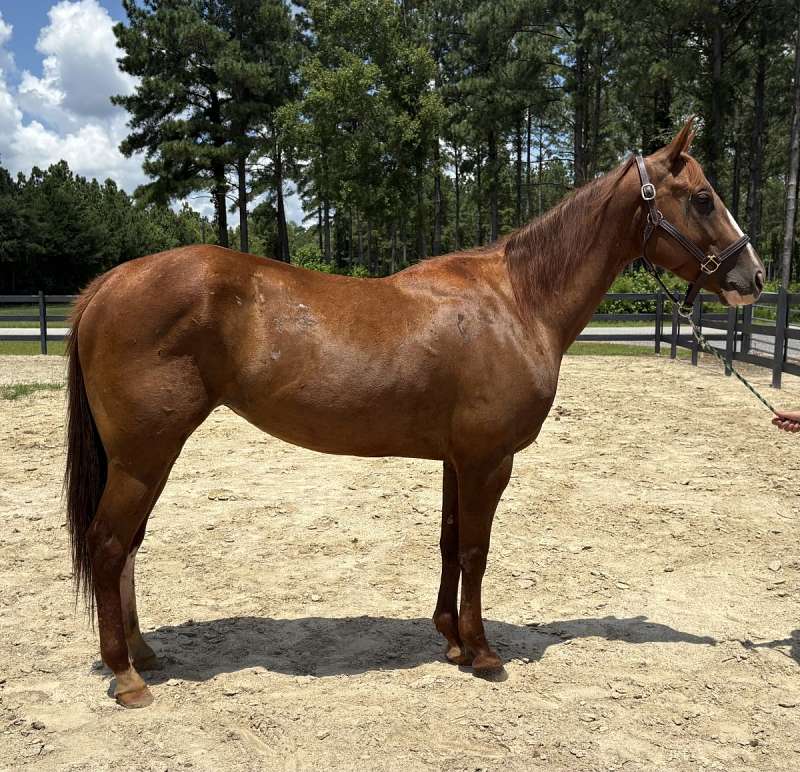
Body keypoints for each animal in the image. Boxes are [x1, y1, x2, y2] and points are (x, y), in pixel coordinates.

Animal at [64, 119, 764, 708]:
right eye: (702, 198)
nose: (752, 278)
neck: (518, 302)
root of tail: (110, 283)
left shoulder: (458, 460)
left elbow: (451, 543)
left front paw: (450, 638)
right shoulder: (489, 461)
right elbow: (478, 549)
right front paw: (483, 652)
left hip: (147, 458)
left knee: (128, 546)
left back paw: (143, 654)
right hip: (145, 455)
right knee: (108, 544)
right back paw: (126, 676)